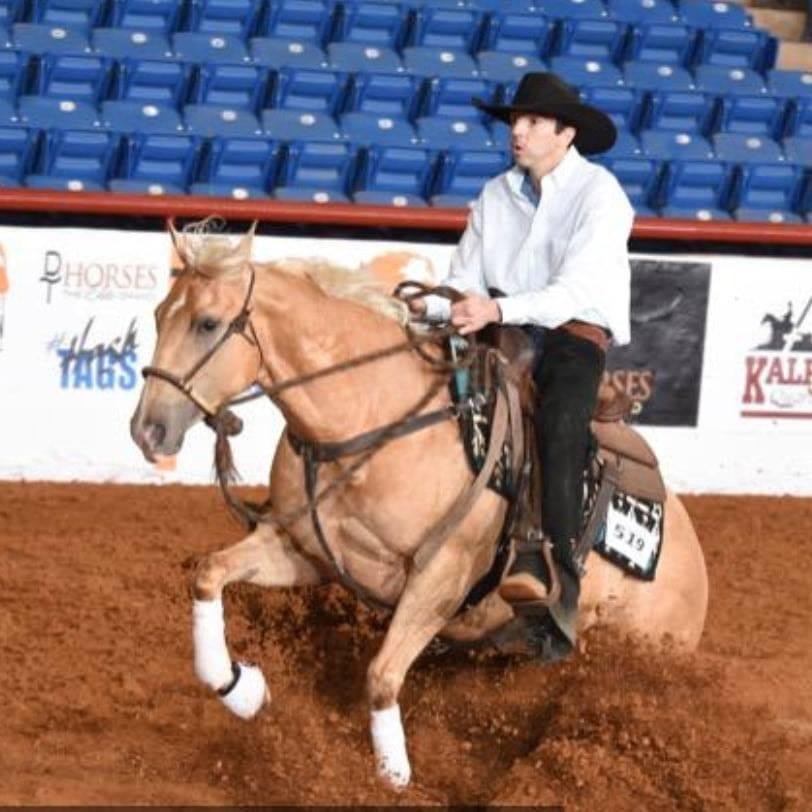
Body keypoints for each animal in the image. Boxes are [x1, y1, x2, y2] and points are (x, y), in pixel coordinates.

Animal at [130, 220, 709, 789]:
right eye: (159, 315)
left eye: (207, 323)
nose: (146, 430)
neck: (372, 417)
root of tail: (695, 561)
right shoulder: (305, 550)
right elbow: (210, 574)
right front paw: (241, 688)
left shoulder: (440, 578)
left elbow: (383, 675)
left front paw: (393, 773)